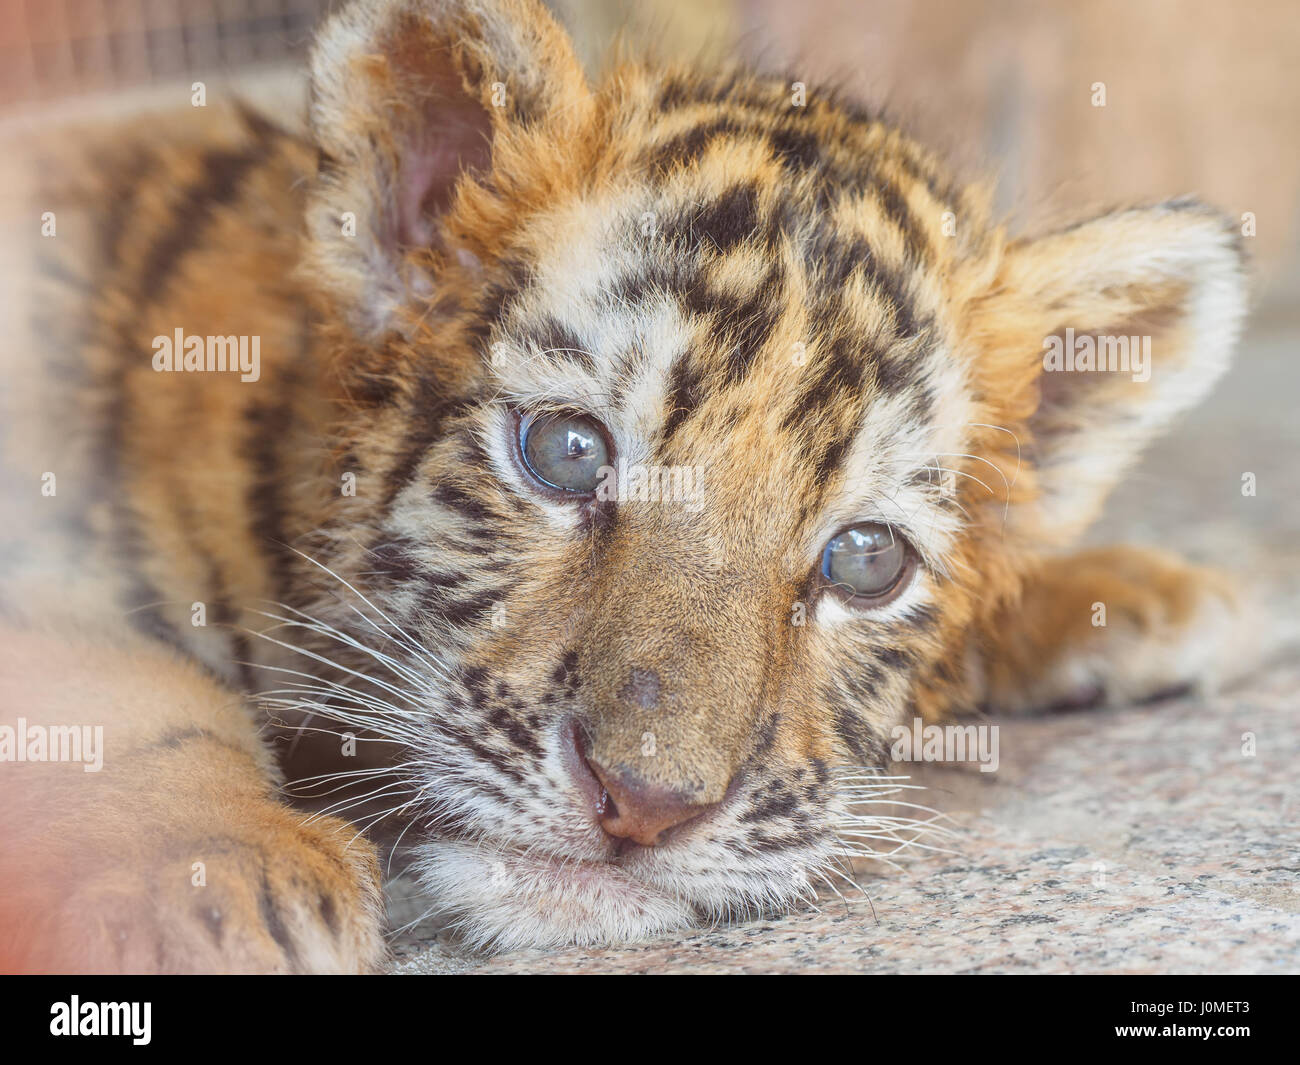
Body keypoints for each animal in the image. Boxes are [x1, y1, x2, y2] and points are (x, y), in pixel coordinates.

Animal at [0, 0, 1251, 973]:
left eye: (865, 560)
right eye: (567, 453)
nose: (646, 804)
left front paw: (1162, 593)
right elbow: (115, 684)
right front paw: (216, 875)